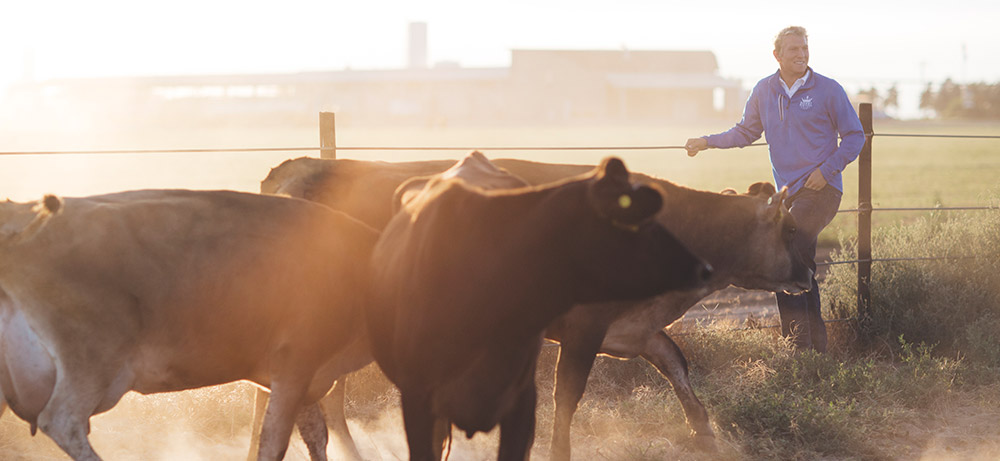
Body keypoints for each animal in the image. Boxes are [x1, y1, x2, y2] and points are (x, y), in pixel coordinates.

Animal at [0, 189, 379, 461]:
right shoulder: (294, 364)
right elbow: (273, 443)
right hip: (91, 359)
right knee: (62, 421)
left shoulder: (310, 378)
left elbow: (316, 438)